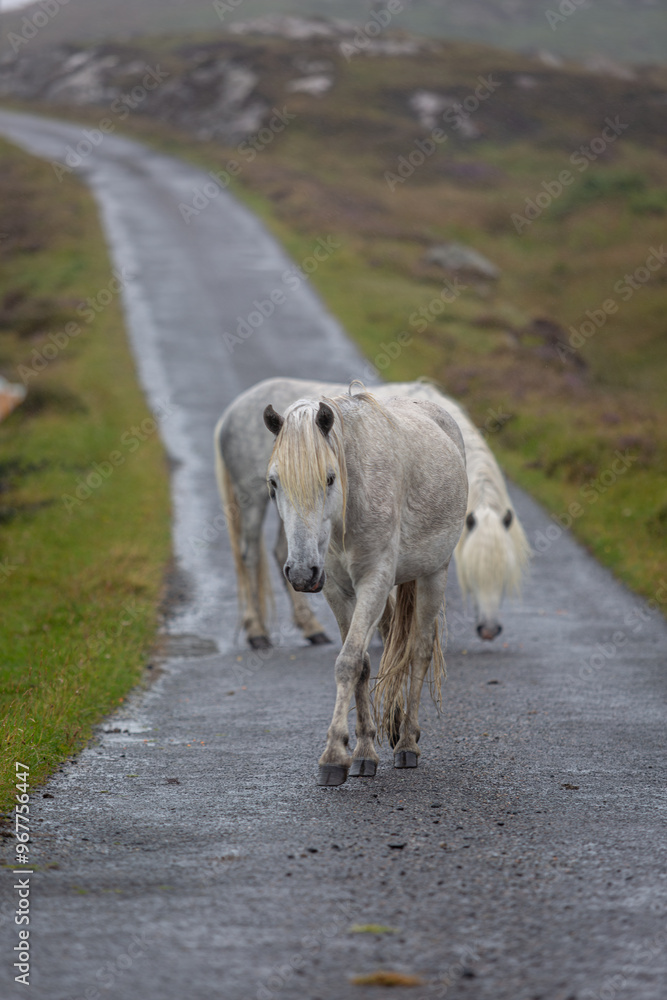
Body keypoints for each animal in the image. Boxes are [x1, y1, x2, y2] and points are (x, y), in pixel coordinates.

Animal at [215, 377, 530, 646]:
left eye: (503, 576)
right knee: (249, 555)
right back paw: (257, 632)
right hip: (254, 501)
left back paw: (311, 628)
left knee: (281, 552)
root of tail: (231, 412)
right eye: (473, 577)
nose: (489, 631)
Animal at [263, 388, 468, 784]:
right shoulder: (337, 591)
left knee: (419, 651)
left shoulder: (374, 581)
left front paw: (333, 756)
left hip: (434, 573)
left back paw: (407, 743)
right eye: (273, 483)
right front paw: (362, 750)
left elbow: (348, 661)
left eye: (329, 478)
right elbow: (362, 664)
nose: (300, 573)